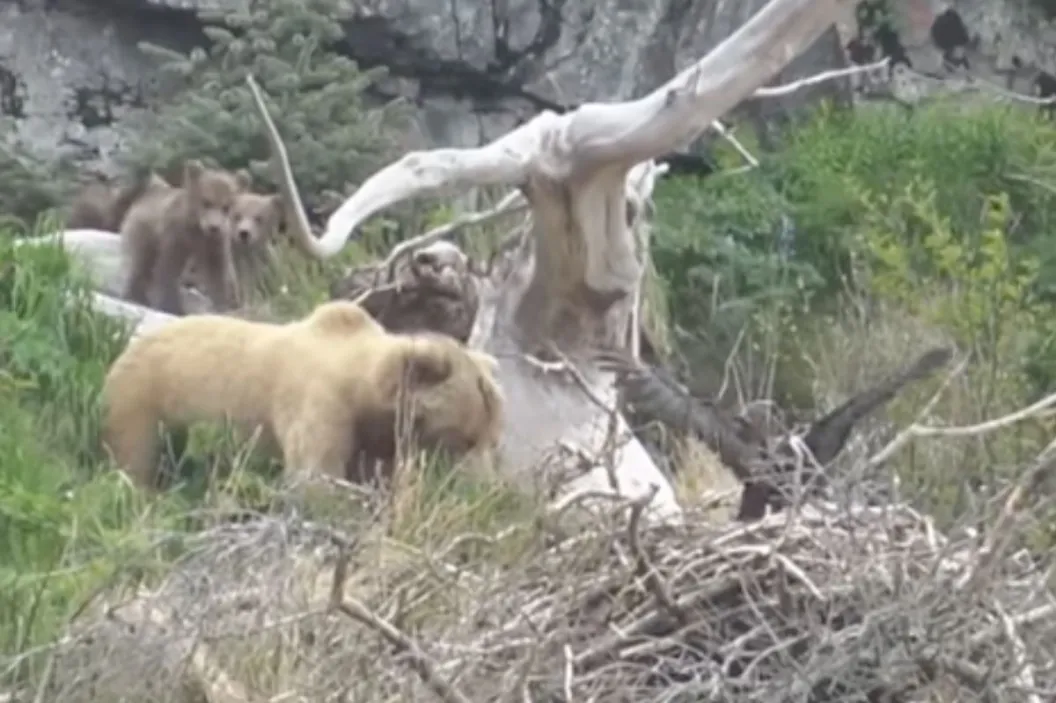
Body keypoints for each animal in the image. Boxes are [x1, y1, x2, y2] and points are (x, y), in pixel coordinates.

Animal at [99, 300, 505, 493]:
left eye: (492, 438)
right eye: (464, 439)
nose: (489, 489)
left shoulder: (376, 439)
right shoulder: (321, 405)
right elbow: (316, 474)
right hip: (144, 403)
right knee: (137, 456)